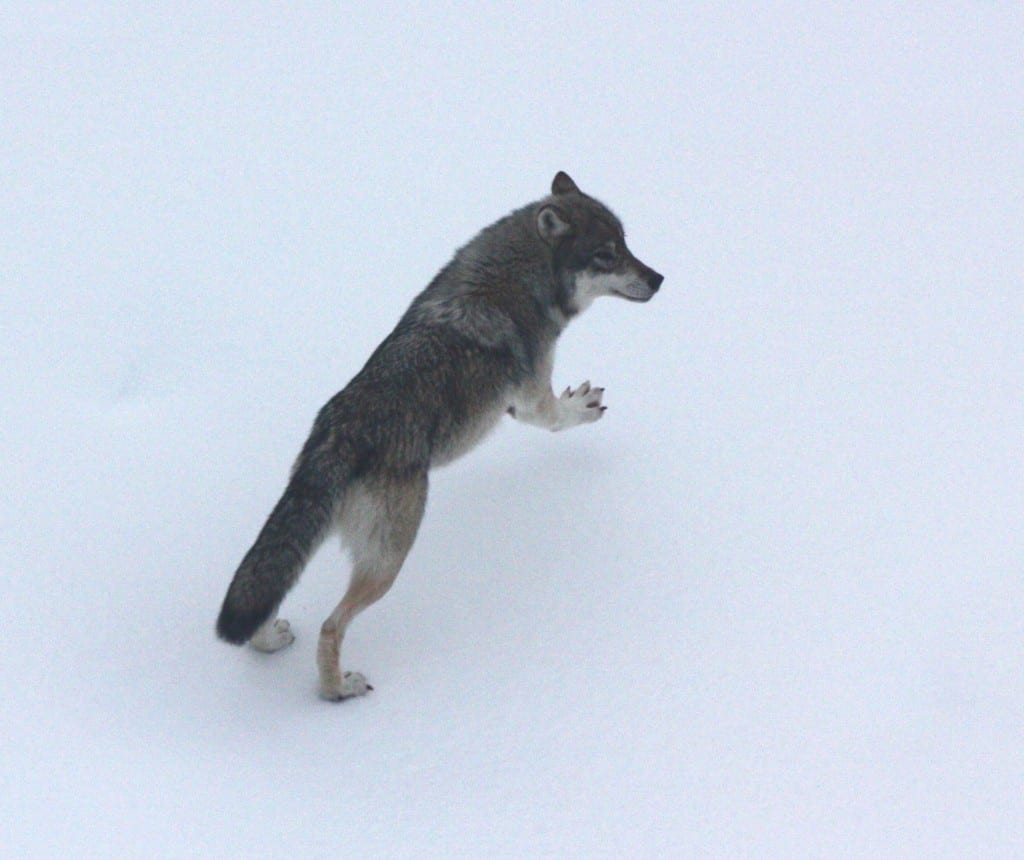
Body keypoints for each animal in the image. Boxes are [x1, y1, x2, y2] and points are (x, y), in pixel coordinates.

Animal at [216, 171, 662, 700]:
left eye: (626, 244)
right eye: (605, 255)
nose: (658, 278)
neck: (521, 274)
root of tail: (335, 438)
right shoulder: (531, 402)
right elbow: (559, 418)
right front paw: (584, 405)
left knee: (272, 591)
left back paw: (269, 641)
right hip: (389, 561)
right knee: (331, 626)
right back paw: (338, 689)